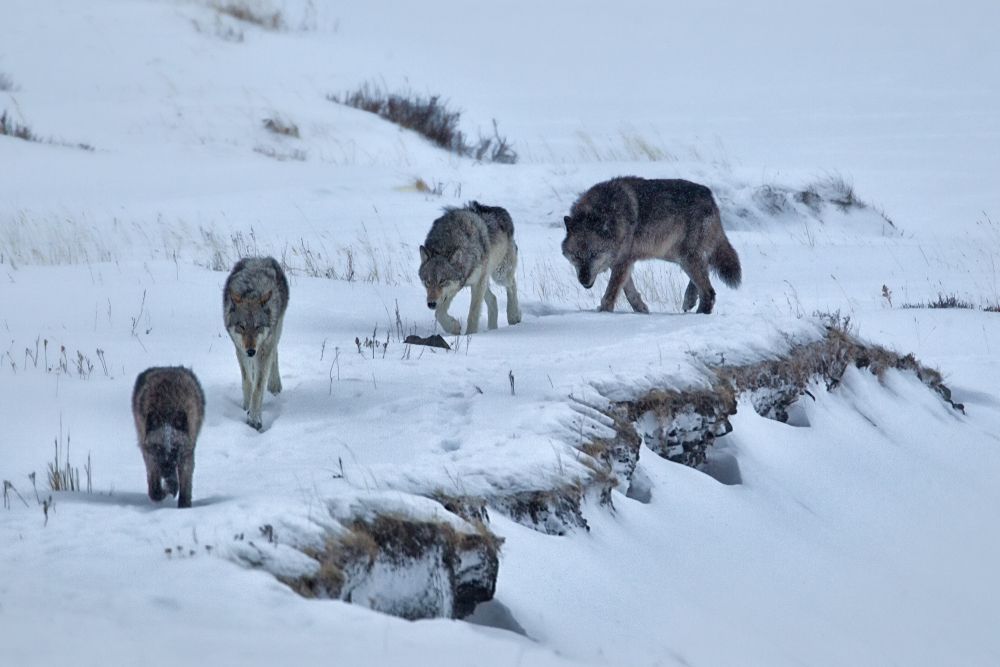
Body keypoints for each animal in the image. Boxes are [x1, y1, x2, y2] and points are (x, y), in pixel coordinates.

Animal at [132, 366, 205, 508]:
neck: (167, 409)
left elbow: (185, 484)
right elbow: (154, 490)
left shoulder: (186, 454)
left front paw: (184, 505)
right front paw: (167, 490)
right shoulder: (151, 455)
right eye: (158, 447)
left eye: (175, 447)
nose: (166, 471)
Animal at [223, 256, 289, 431]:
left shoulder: (264, 348)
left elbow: (258, 387)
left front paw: (254, 418)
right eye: (242, 326)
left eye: (258, 326)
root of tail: (259, 258)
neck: (252, 291)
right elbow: (248, 381)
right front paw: (246, 407)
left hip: (276, 331)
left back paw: (274, 385)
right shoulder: (240, 349)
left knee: (275, 353)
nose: (251, 351)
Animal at [418, 201, 522, 335]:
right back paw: (493, 329)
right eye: (427, 282)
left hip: (499, 276)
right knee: (494, 299)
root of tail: (500, 210)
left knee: (512, 285)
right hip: (486, 279)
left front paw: (470, 335)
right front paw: (454, 327)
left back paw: (514, 316)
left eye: (442, 281)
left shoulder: (476, 284)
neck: (446, 244)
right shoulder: (454, 288)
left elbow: (473, 314)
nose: (431, 304)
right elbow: (438, 314)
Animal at [562, 177, 741, 314]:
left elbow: (611, 292)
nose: (584, 280)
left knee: (709, 291)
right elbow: (630, 292)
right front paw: (641, 310)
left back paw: (697, 315)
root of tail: (710, 195)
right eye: (576, 256)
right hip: (676, 256)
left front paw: (603, 313)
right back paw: (689, 300)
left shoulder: (622, 262)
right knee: (706, 271)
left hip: (685, 258)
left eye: (595, 254)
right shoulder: (624, 262)